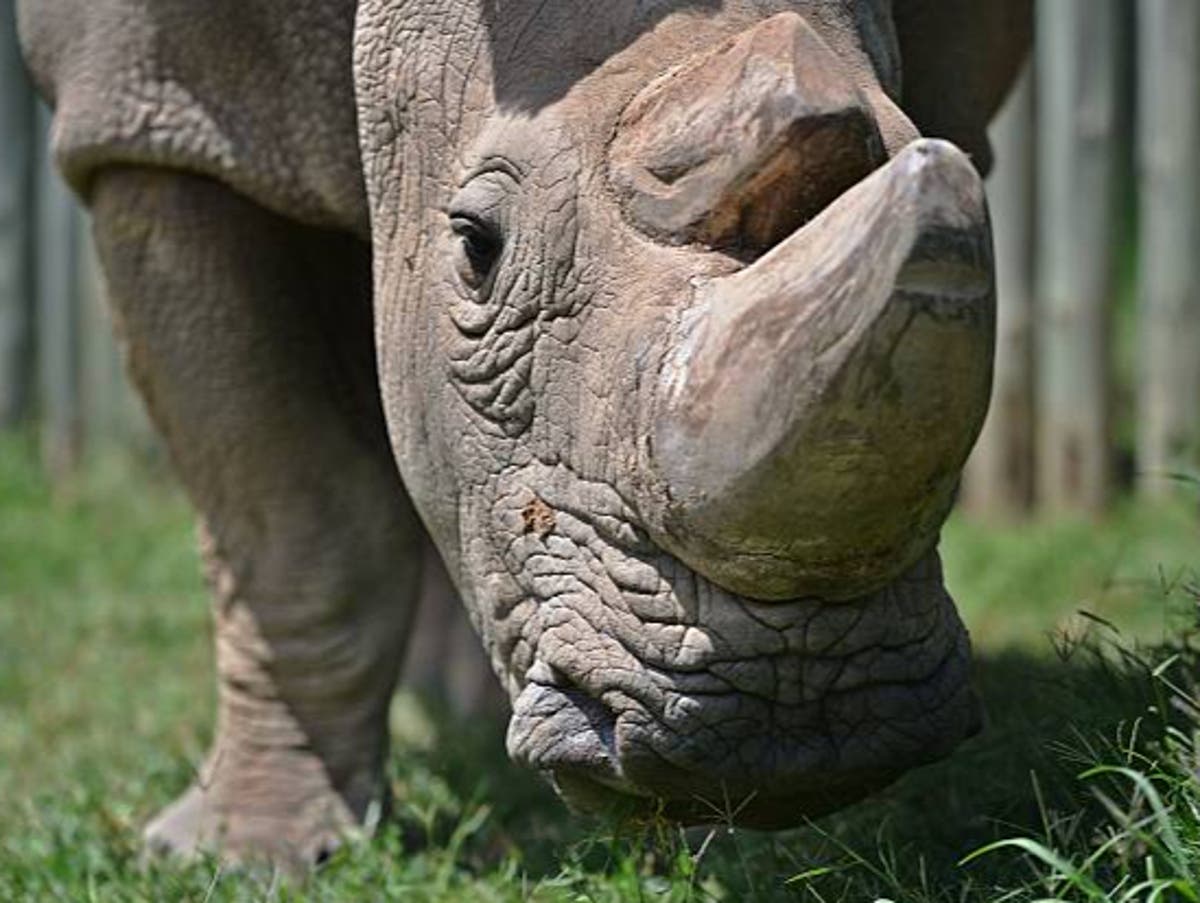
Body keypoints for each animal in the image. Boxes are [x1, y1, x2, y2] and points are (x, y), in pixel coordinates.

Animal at [17, 0, 1031, 866]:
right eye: (476, 244)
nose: (799, 717)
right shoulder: (149, 110)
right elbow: (296, 516)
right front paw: (246, 855)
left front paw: (706, 835)